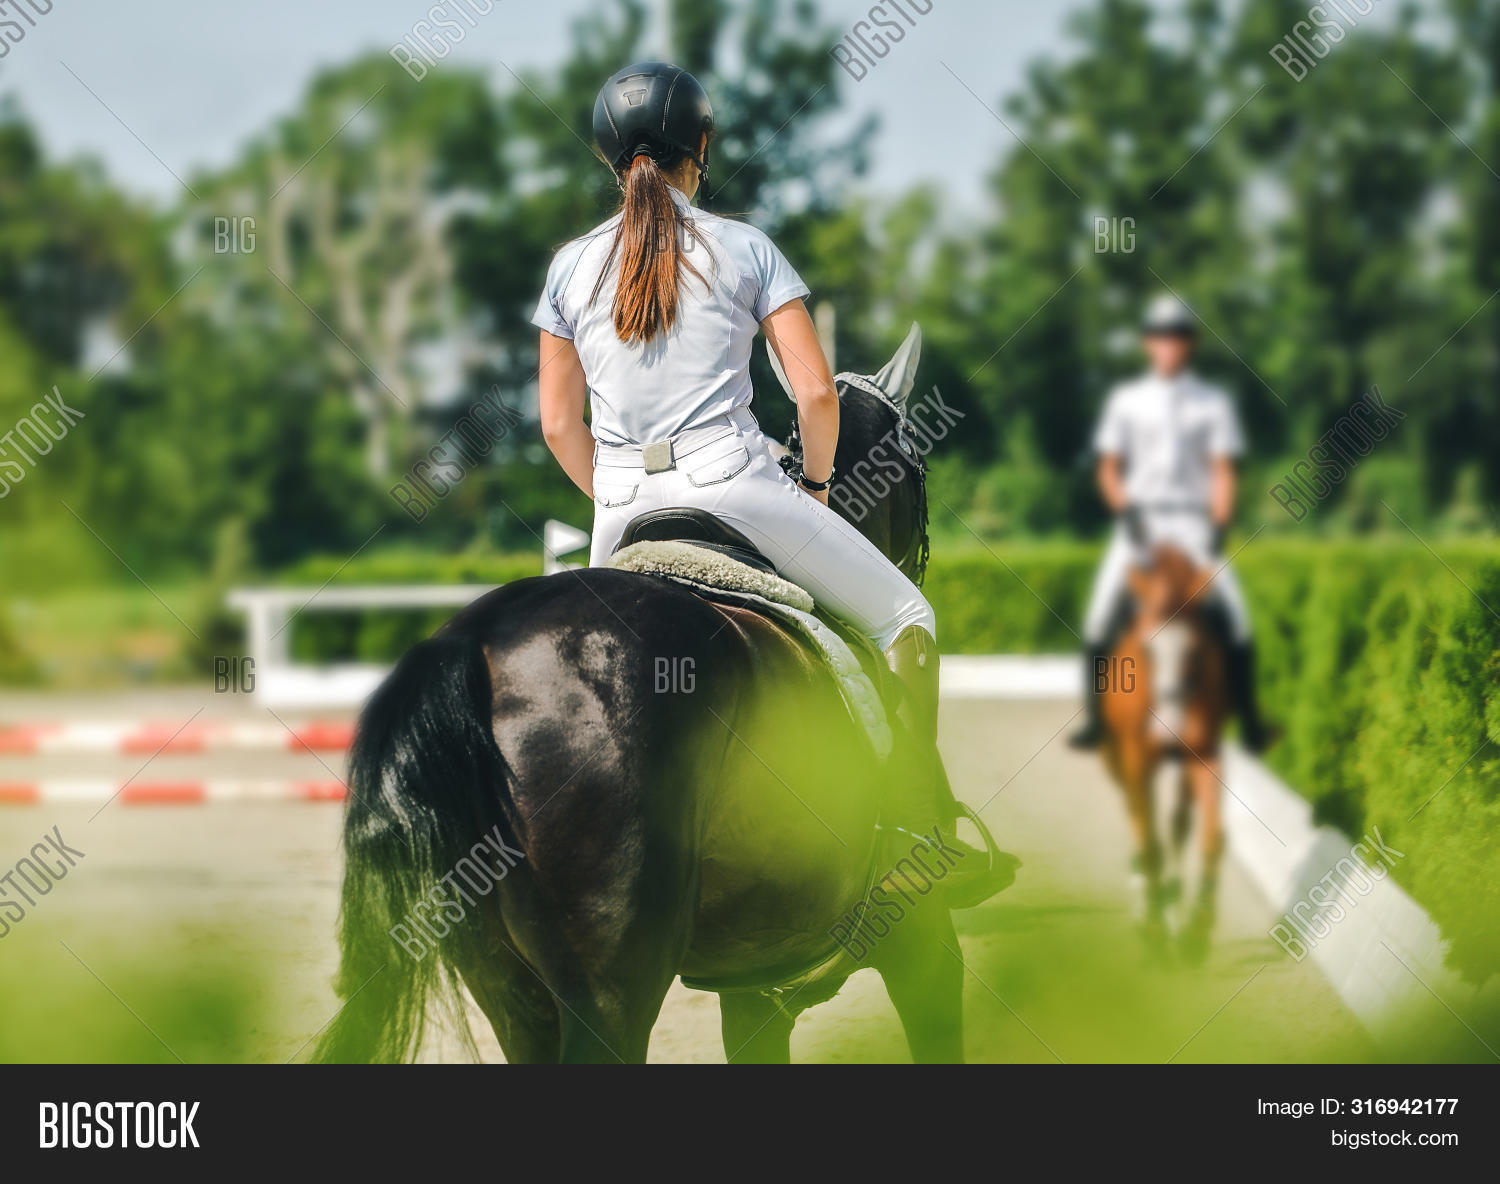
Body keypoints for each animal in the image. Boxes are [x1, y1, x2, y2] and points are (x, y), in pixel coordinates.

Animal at [314, 326, 989, 1064]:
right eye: (919, 463)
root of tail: (472, 642)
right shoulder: (923, 944)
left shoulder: (756, 989)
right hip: (613, 983)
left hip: (508, 988)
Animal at [1098, 542, 1229, 962]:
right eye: (1146, 648)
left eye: (1196, 649)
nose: (1170, 725)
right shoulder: (1136, 760)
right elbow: (1148, 837)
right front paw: (1155, 930)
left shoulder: (1205, 756)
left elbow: (1210, 838)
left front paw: (1196, 932)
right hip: (1117, 760)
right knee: (1140, 822)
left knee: (1175, 826)